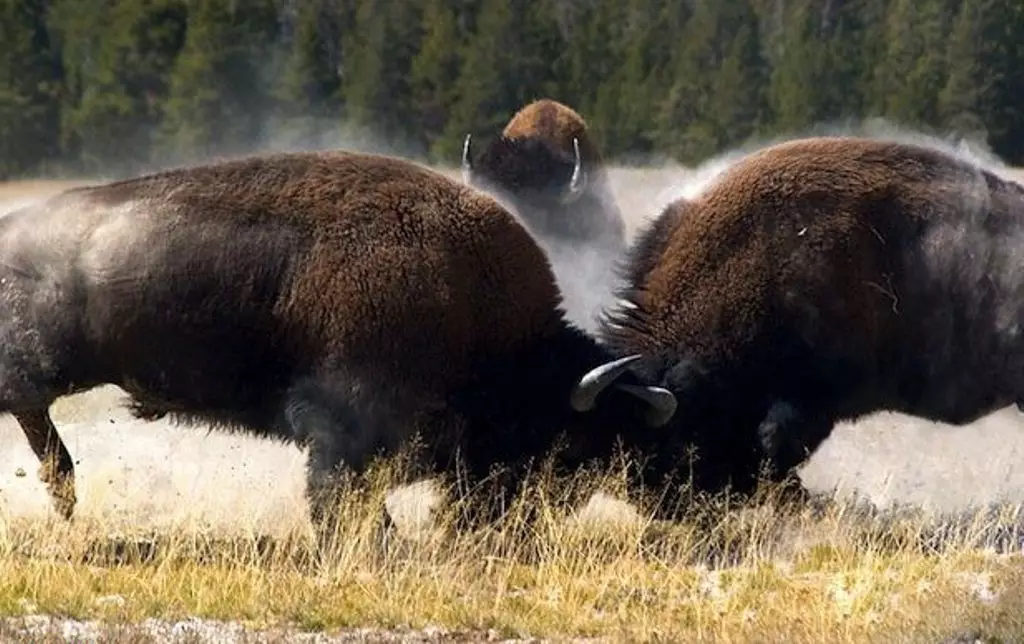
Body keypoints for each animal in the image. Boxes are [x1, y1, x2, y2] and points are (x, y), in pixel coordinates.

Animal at [0, 148, 679, 536]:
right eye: (566, 441)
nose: (523, 525)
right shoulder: (341, 429)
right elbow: (340, 496)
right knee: (29, 408)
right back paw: (64, 496)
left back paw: (65, 497)